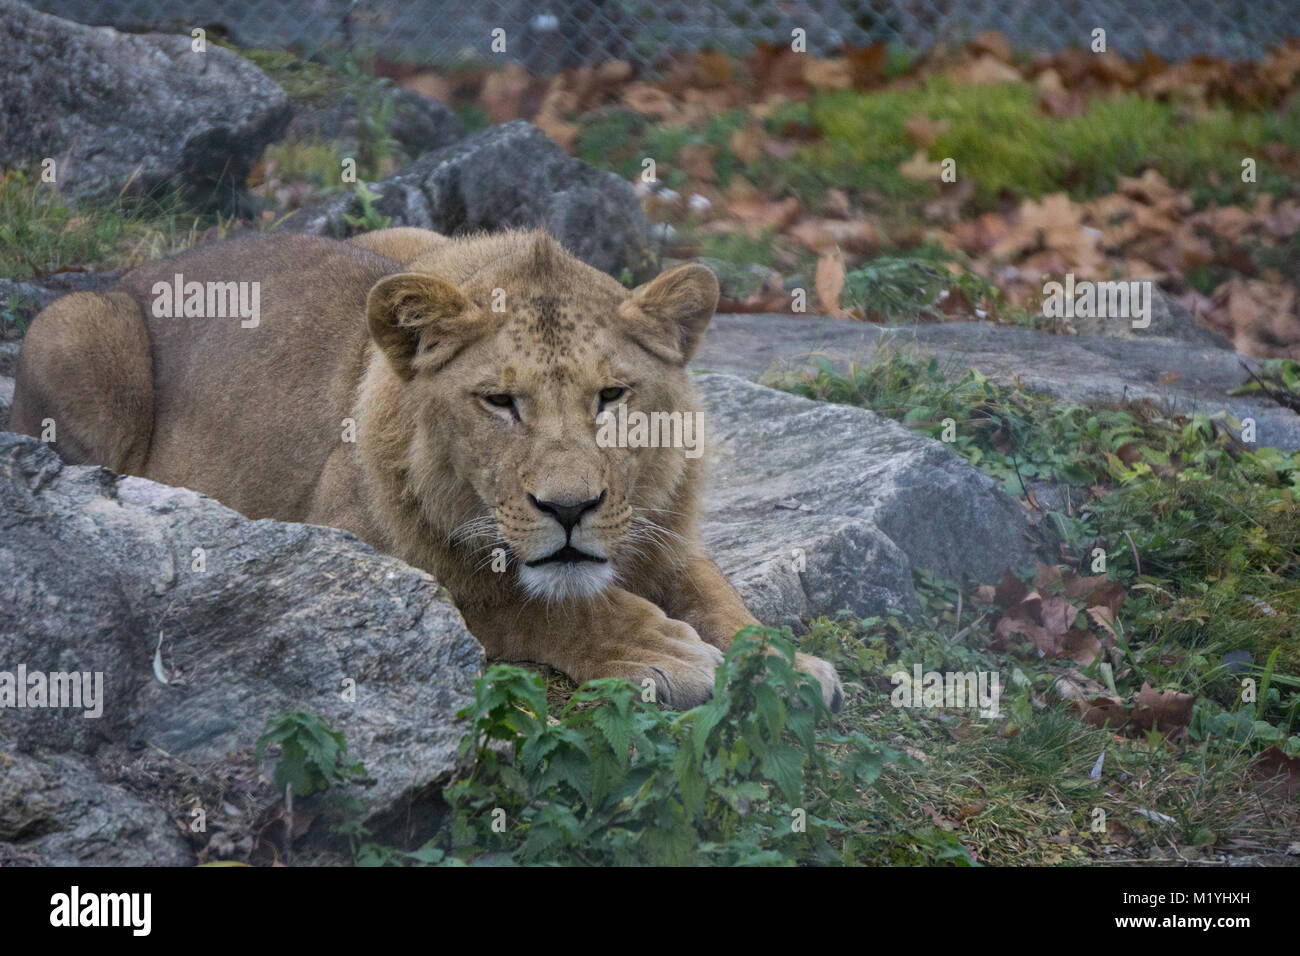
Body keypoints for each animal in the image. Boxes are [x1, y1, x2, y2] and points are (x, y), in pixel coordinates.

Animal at [11, 227, 842, 710]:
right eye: (500, 402)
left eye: (611, 396)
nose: (570, 509)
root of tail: (133, 272)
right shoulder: (349, 541)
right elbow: (523, 601)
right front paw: (659, 650)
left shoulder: (663, 535)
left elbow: (721, 600)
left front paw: (785, 664)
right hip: (78, 331)